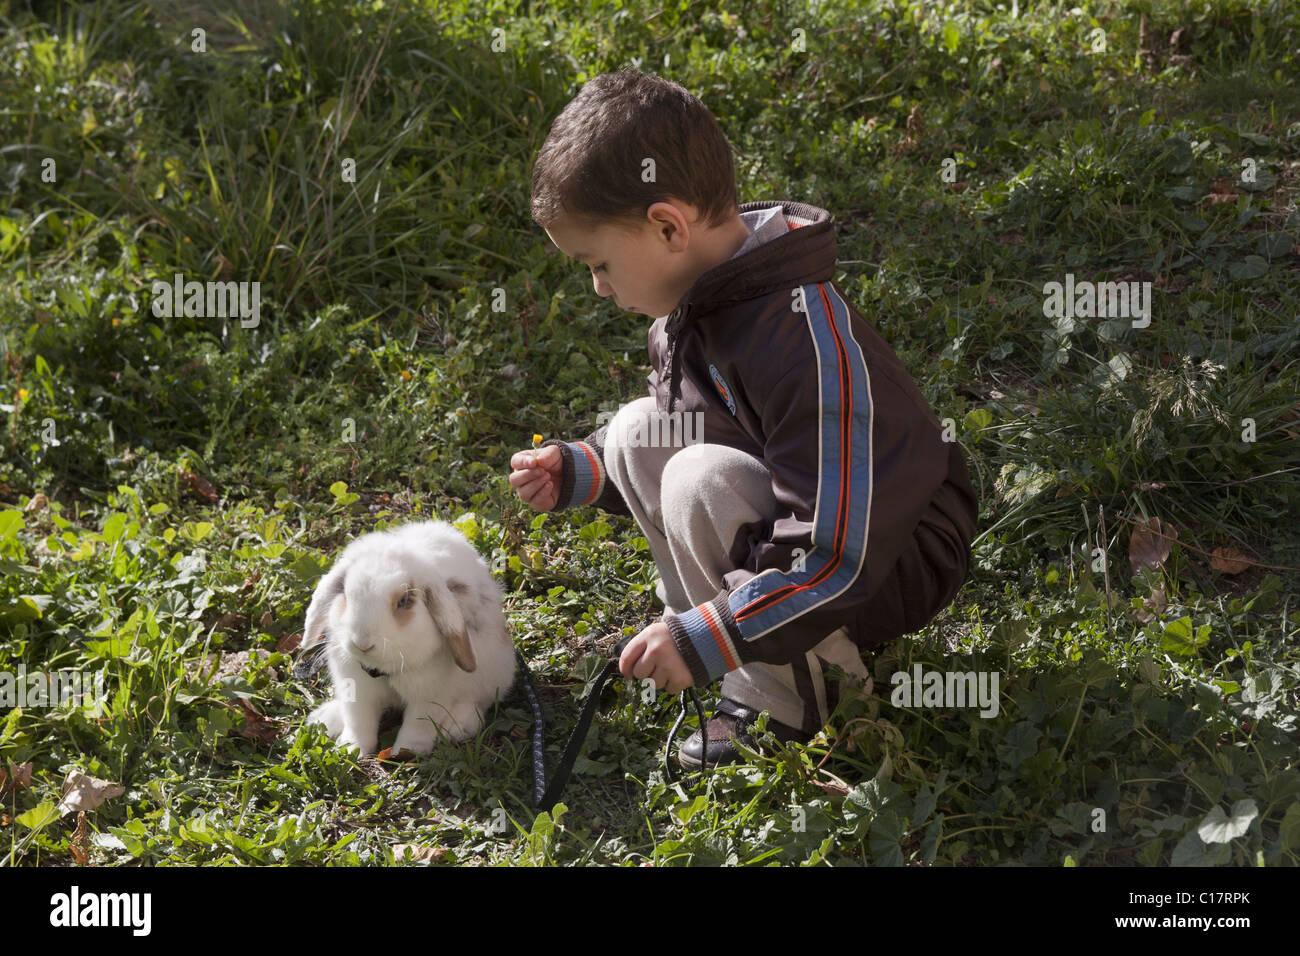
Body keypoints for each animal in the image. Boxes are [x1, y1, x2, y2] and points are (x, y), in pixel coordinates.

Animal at [300, 520, 516, 756]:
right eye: (346, 595)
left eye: (404, 601)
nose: (362, 643)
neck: (382, 670)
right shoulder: (357, 690)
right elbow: (359, 723)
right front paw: (351, 750)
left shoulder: (429, 695)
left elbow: (418, 726)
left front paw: (405, 752)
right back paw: (324, 718)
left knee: (476, 703)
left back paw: (456, 727)